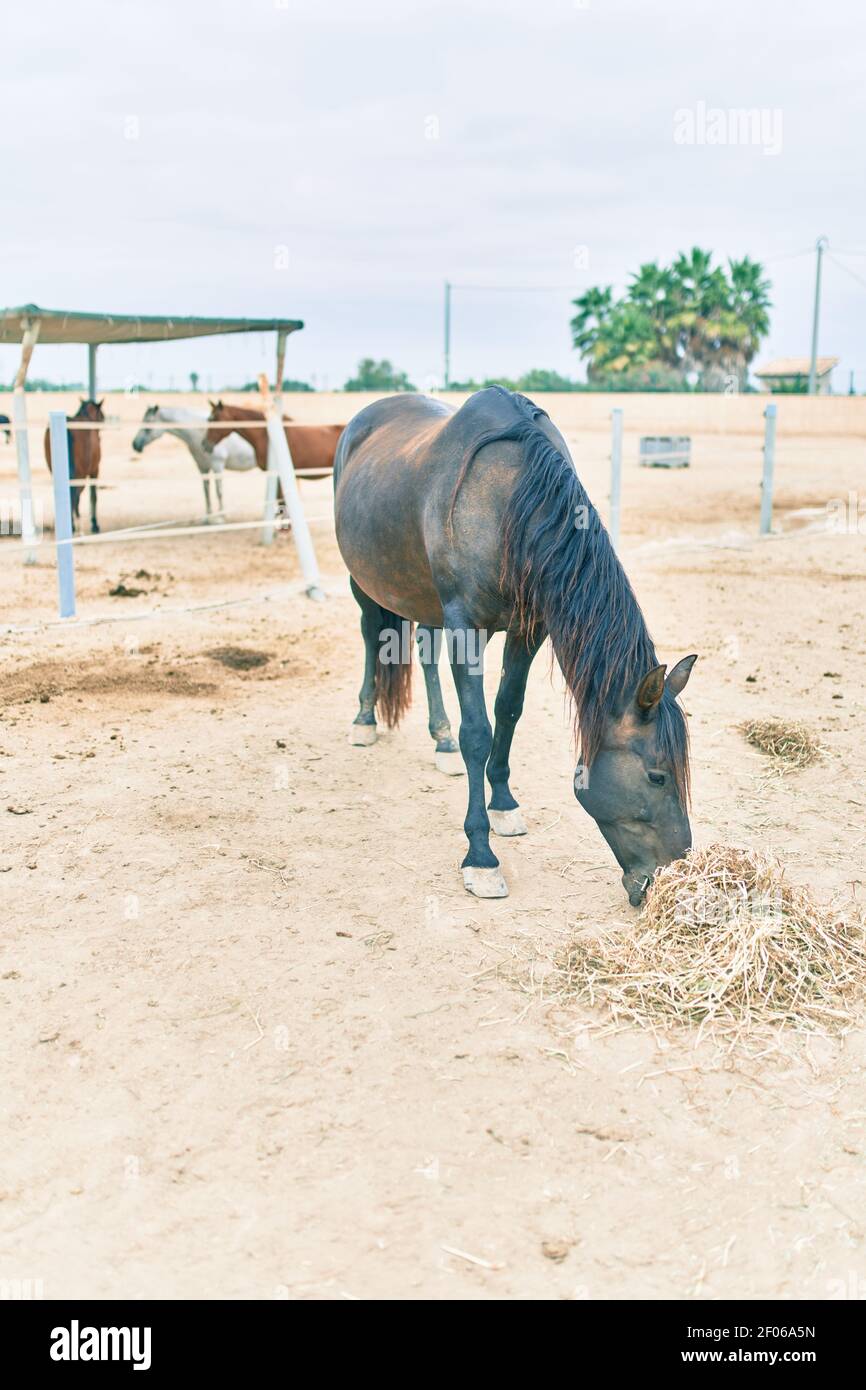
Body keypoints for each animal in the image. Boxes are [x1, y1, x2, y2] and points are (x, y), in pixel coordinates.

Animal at [44, 399, 105, 534]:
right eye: (101, 414)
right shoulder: (94, 470)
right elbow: (93, 496)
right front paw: (94, 524)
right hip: (80, 473)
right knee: (75, 495)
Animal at [333, 385, 697, 905]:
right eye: (657, 776)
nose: (673, 876)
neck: (510, 503)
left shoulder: (530, 629)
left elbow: (508, 710)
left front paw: (503, 803)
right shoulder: (466, 626)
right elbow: (478, 732)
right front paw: (480, 856)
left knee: (424, 651)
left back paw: (440, 740)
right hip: (364, 581)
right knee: (370, 634)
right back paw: (364, 720)